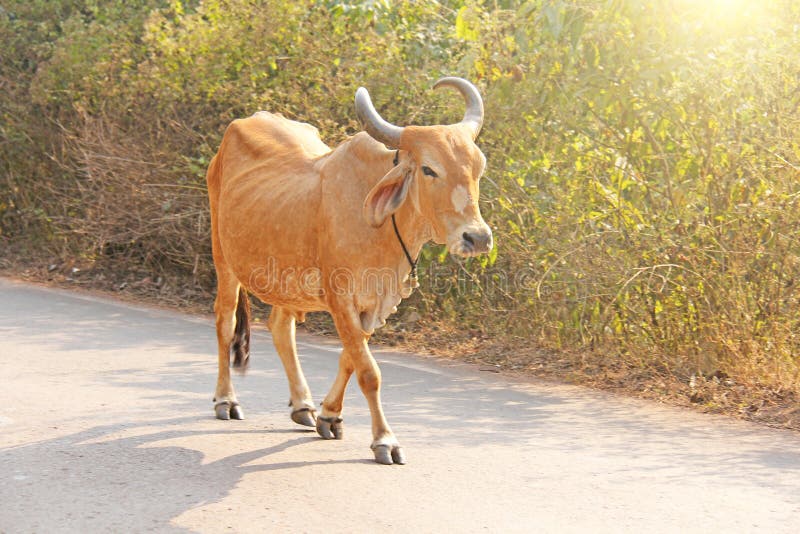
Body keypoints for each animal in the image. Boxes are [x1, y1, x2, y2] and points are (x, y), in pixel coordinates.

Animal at [206, 77, 493, 465]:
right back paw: (226, 399)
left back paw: (303, 405)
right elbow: (368, 371)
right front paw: (384, 440)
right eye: (429, 169)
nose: (477, 237)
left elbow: (350, 358)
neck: (381, 227)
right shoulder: (340, 297)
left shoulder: (377, 304)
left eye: (478, 167)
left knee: (281, 328)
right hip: (223, 258)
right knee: (225, 321)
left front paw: (329, 416)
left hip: (287, 278)